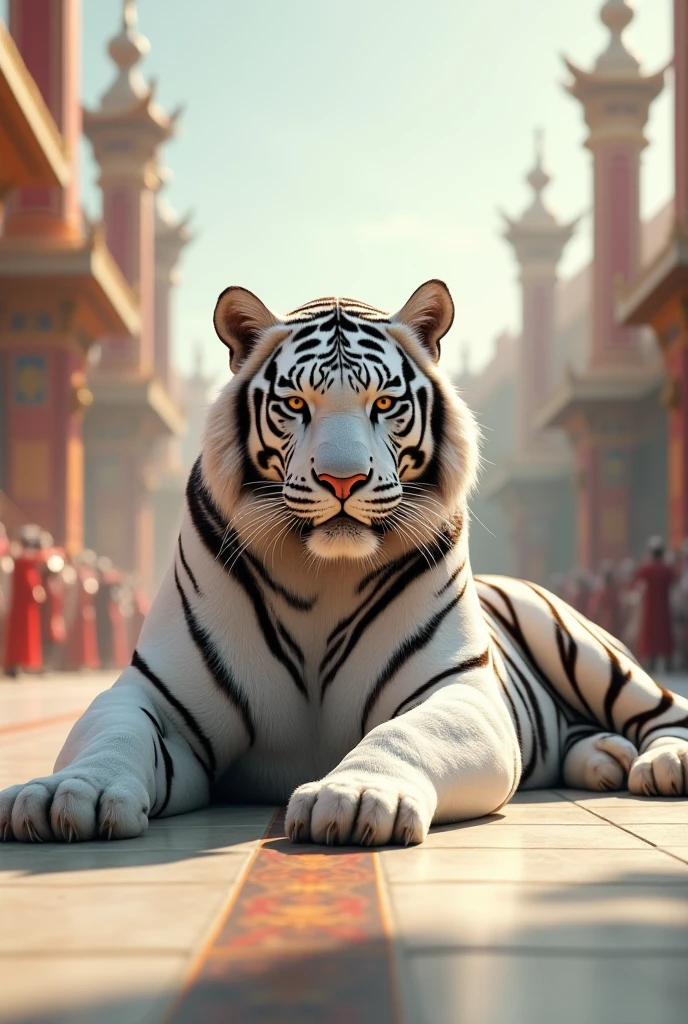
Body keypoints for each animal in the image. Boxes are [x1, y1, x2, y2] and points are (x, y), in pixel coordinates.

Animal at [2, 279, 688, 847]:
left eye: (383, 404)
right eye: (294, 405)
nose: (342, 480)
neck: (320, 575)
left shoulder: (459, 692)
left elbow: (402, 733)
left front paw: (355, 796)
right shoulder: (158, 696)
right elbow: (112, 734)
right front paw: (67, 794)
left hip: (582, 645)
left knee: (660, 708)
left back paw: (662, 764)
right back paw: (604, 760)